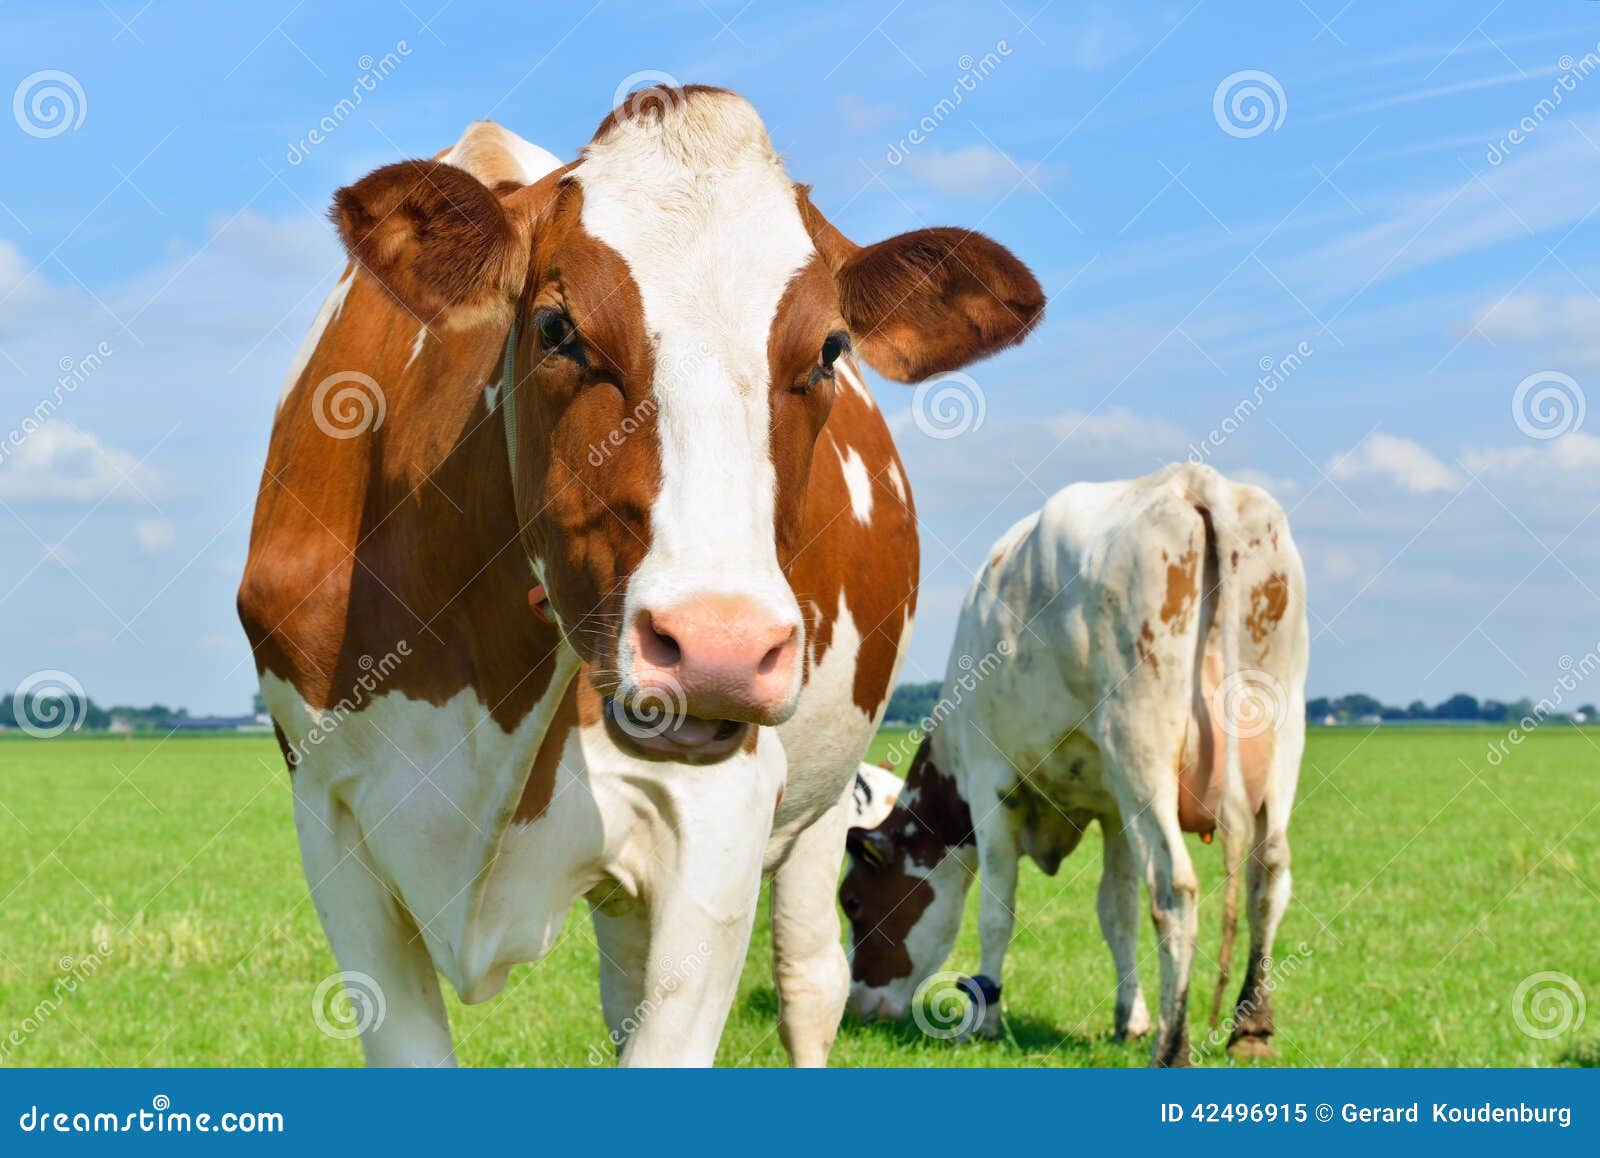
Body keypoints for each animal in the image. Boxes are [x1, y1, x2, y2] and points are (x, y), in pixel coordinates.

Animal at [237, 86, 1043, 1066]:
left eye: (829, 349)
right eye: (557, 328)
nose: (719, 649)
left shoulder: (723, 820)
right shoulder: (332, 823)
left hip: (821, 803)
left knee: (812, 986)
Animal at [838, 463, 1307, 1066]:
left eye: (853, 902)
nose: (857, 1005)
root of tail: (1191, 481)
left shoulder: (993, 787)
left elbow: (997, 908)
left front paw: (985, 1017)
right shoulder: (1114, 809)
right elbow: (1117, 912)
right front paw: (1129, 1019)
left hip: (1142, 745)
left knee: (1175, 890)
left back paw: (1173, 1045)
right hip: (1280, 739)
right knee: (1267, 877)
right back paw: (1251, 1028)